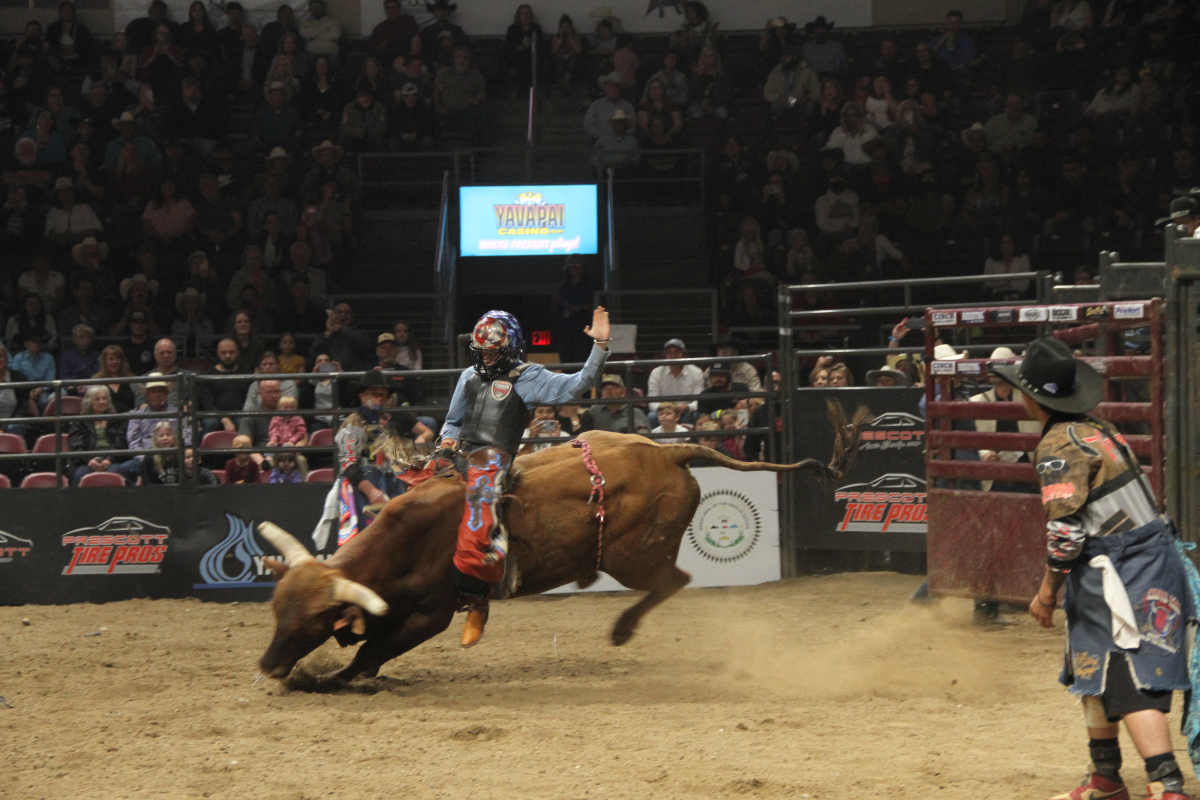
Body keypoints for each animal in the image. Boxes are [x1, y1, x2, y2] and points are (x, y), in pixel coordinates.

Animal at [258, 410, 866, 684]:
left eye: (311, 622)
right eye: (276, 612)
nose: (267, 664)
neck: (409, 539)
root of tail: (671, 452)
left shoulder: (431, 613)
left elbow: (372, 651)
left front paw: (331, 681)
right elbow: (372, 644)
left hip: (633, 556)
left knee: (674, 580)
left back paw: (621, 630)